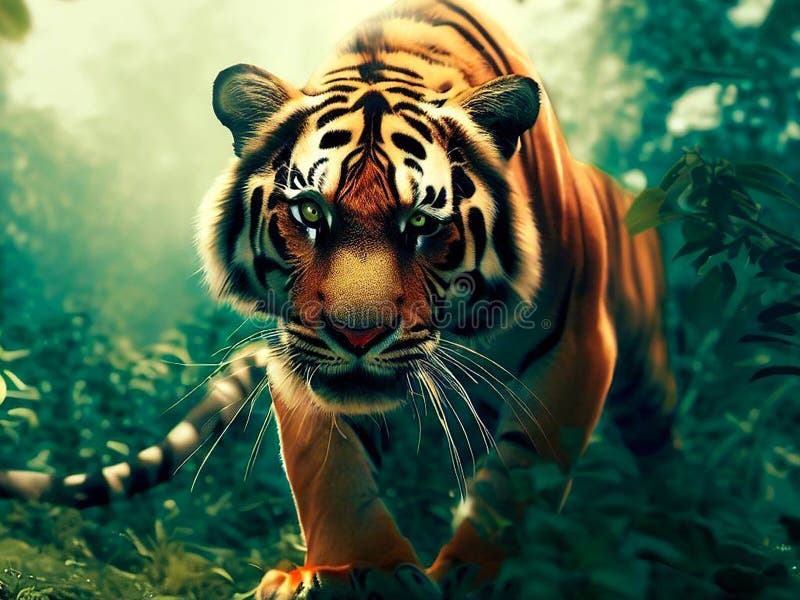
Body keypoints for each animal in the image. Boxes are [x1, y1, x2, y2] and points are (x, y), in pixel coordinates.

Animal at [0, 0, 677, 597]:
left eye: (421, 223)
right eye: (309, 212)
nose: (357, 334)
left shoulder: (575, 346)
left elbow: (521, 477)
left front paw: (481, 577)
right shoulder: (295, 353)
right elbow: (330, 469)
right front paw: (363, 573)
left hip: (645, 380)